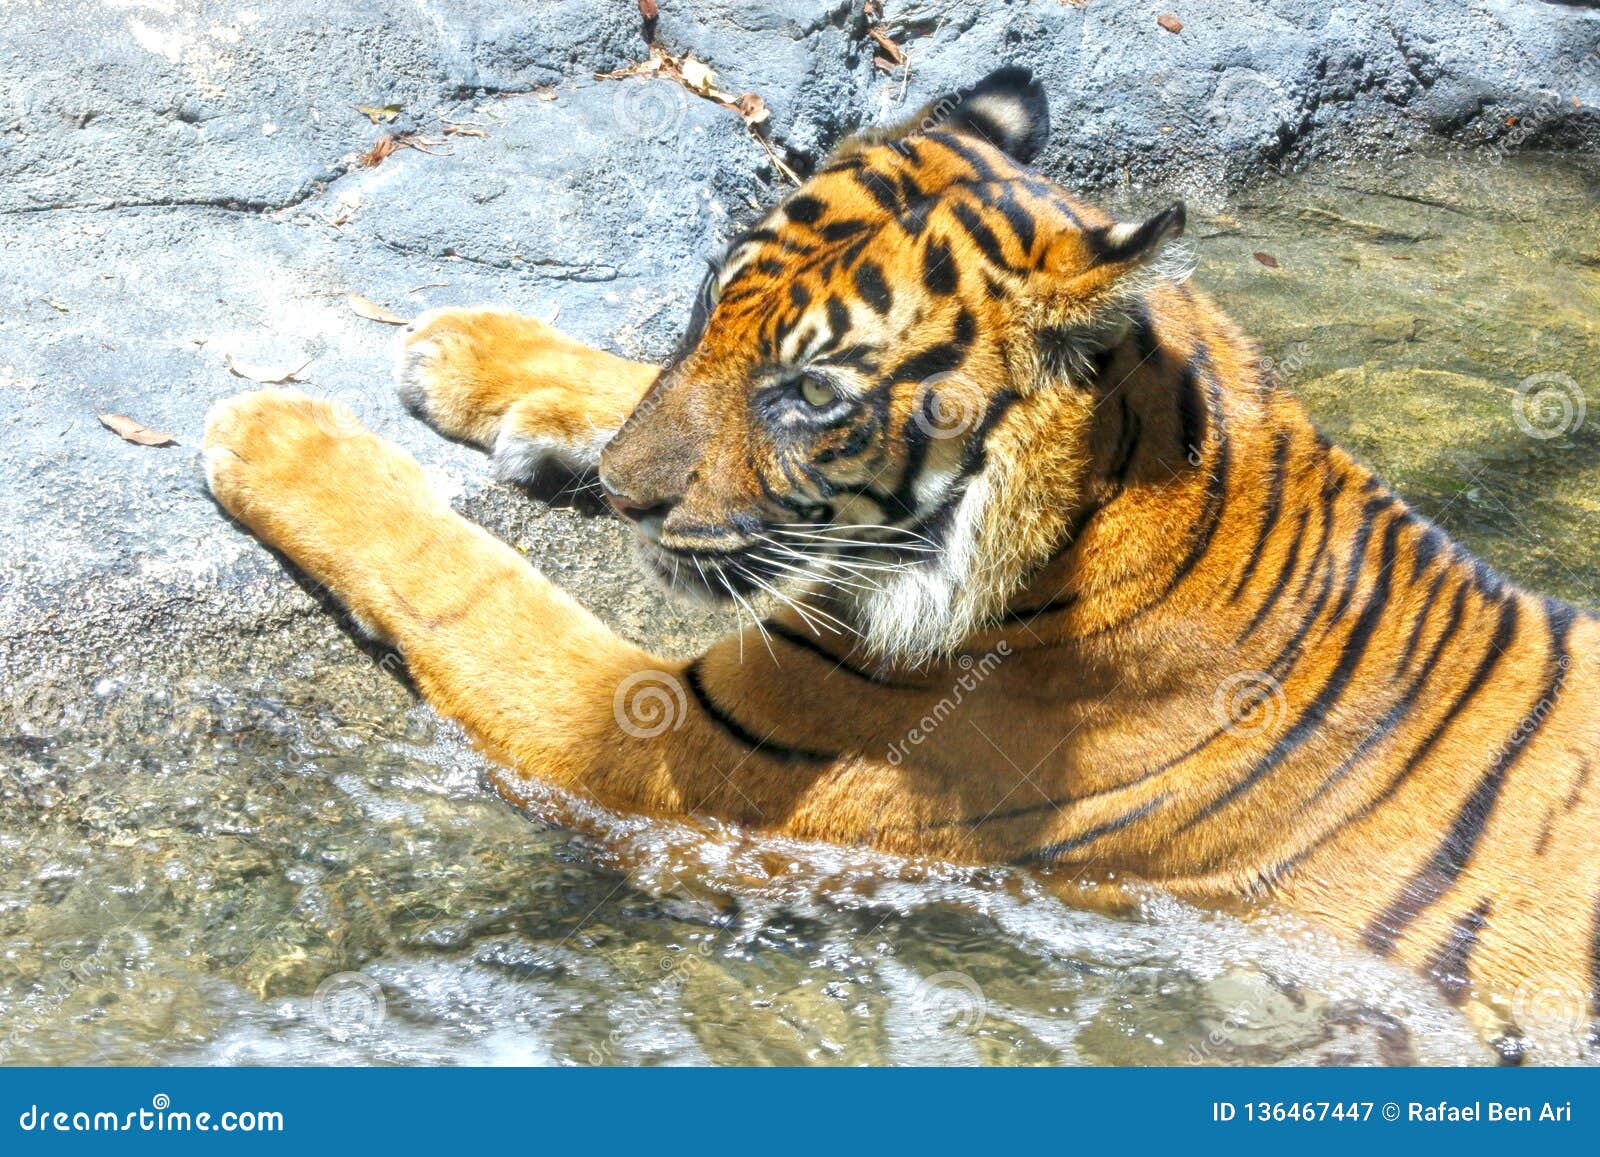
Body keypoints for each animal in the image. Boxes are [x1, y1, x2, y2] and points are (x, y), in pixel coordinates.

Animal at [202, 67, 1600, 1061]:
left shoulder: (677, 747)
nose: (634, 498)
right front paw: (477, 348)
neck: (1128, 479)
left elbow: (469, 581)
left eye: (809, 393)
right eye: (707, 308)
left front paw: (277, 431)